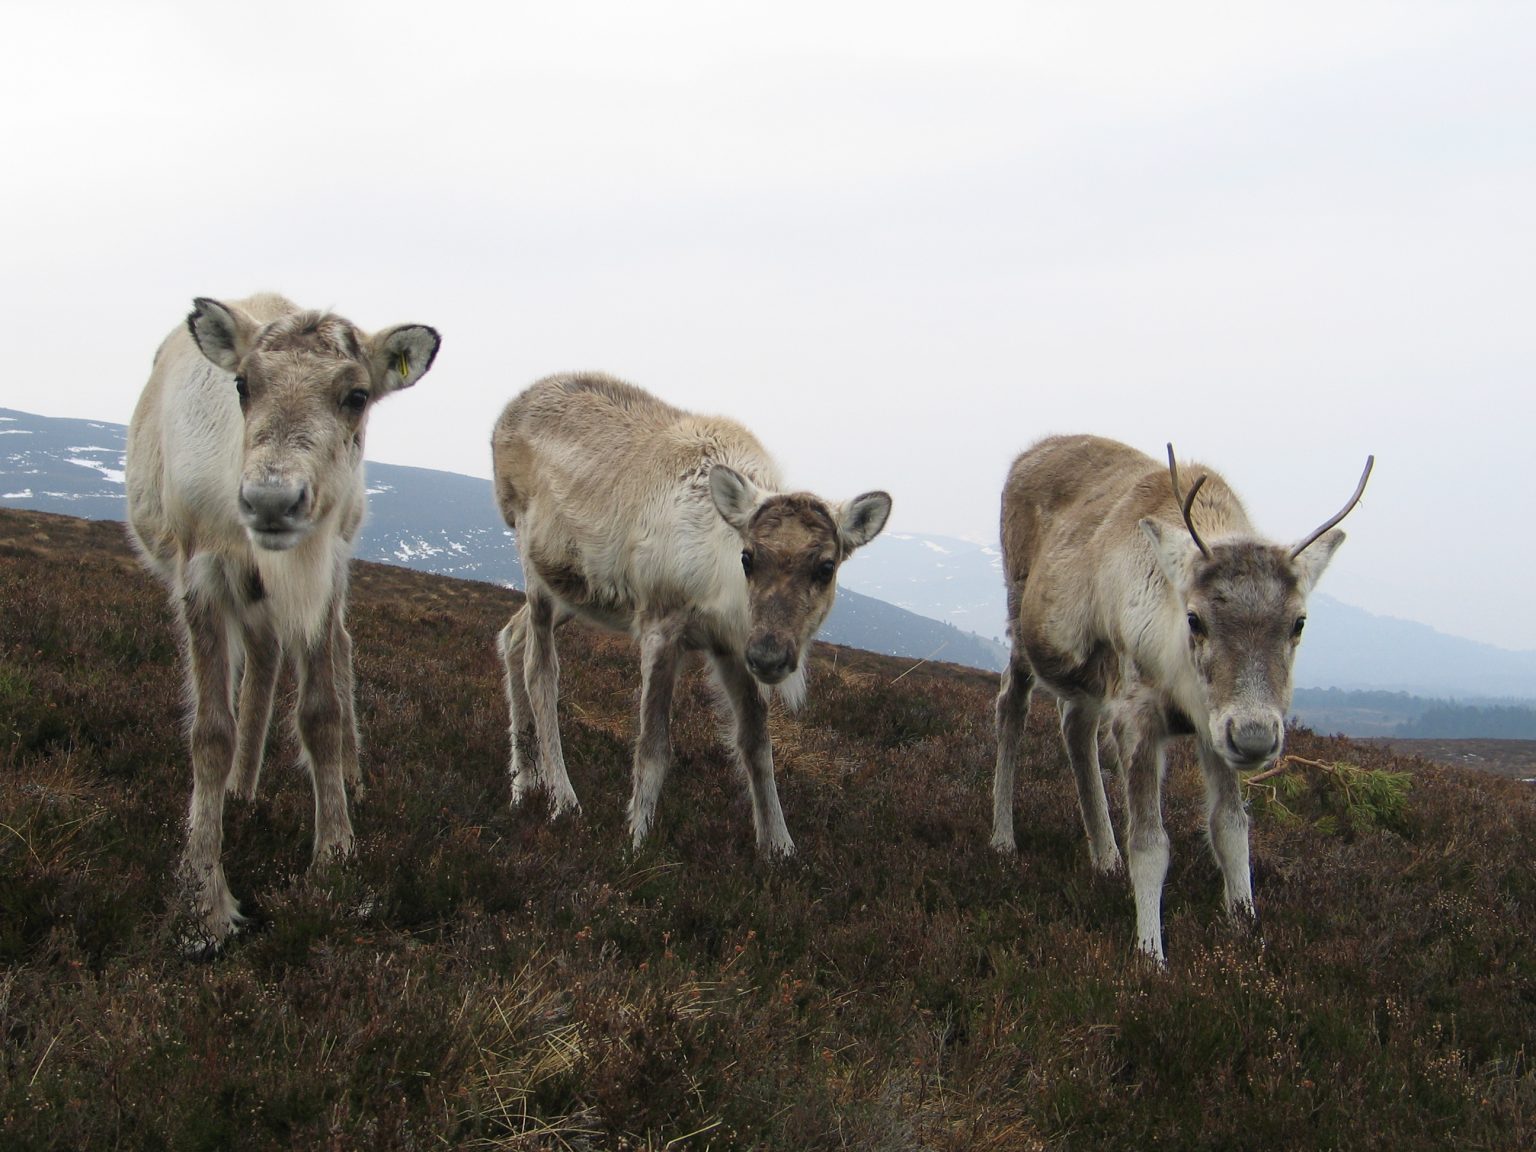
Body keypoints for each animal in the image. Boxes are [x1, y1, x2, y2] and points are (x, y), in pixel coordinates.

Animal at [125, 293, 440, 950]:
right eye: (243, 384)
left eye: (357, 394)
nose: (272, 500)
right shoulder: (202, 574)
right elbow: (210, 732)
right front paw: (204, 898)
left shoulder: (319, 573)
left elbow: (321, 713)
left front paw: (335, 864)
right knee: (263, 661)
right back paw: (240, 789)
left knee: (336, 649)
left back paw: (348, 776)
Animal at [491, 372, 892, 855]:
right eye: (748, 557)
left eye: (826, 566)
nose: (771, 656)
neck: (721, 588)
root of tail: (505, 417)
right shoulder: (662, 626)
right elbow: (653, 746)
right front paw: (637, 843)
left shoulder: (731, 648)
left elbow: (757, 747)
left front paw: (780, 848)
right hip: (536, 569)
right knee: (539, 669)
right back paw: (562, 800)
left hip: (573, 597)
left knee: (510, 636)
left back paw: (523, 785)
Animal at [991, 435, 1372, 961]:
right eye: (1195, 618)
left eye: (1298, 622)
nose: (1256, 739)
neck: (1181, 682)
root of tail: (1025, 455)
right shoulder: (1137, 717)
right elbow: (1150, 844)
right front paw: (1151, 954)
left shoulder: (1214, 729)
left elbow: (1231, 827)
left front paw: (1246, 929)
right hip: (1021, 624)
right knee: (1011, 703)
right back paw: (1004, 840)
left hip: (1090, 684)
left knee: (1075, 727)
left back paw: (1104, 858)